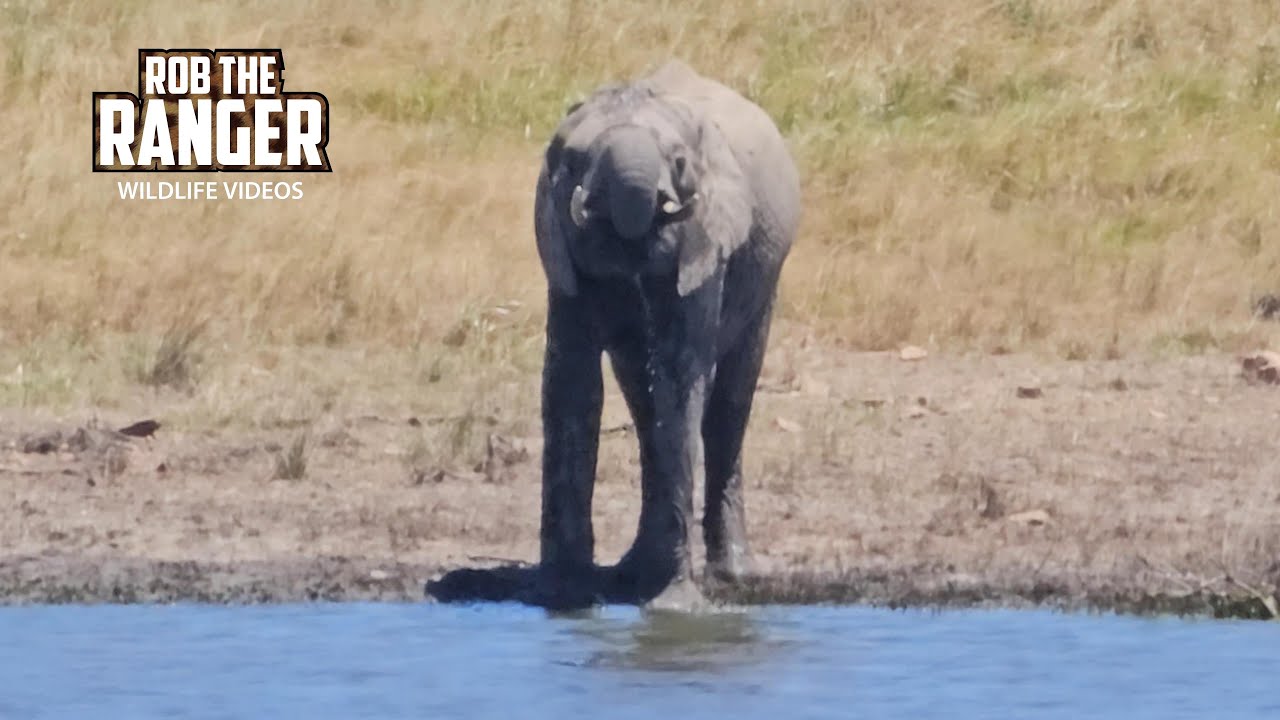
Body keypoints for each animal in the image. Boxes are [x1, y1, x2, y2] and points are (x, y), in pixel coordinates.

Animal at [531, 59, 801, 607]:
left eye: (679, 163)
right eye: (573, 162)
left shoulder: (708, 242)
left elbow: (680, 376)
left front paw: (671, 604)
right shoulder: (559, 255)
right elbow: (572, 384)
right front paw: (564, 596)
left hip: (767, 274)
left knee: (728, 405)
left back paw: (731, 574)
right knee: (642, 402)